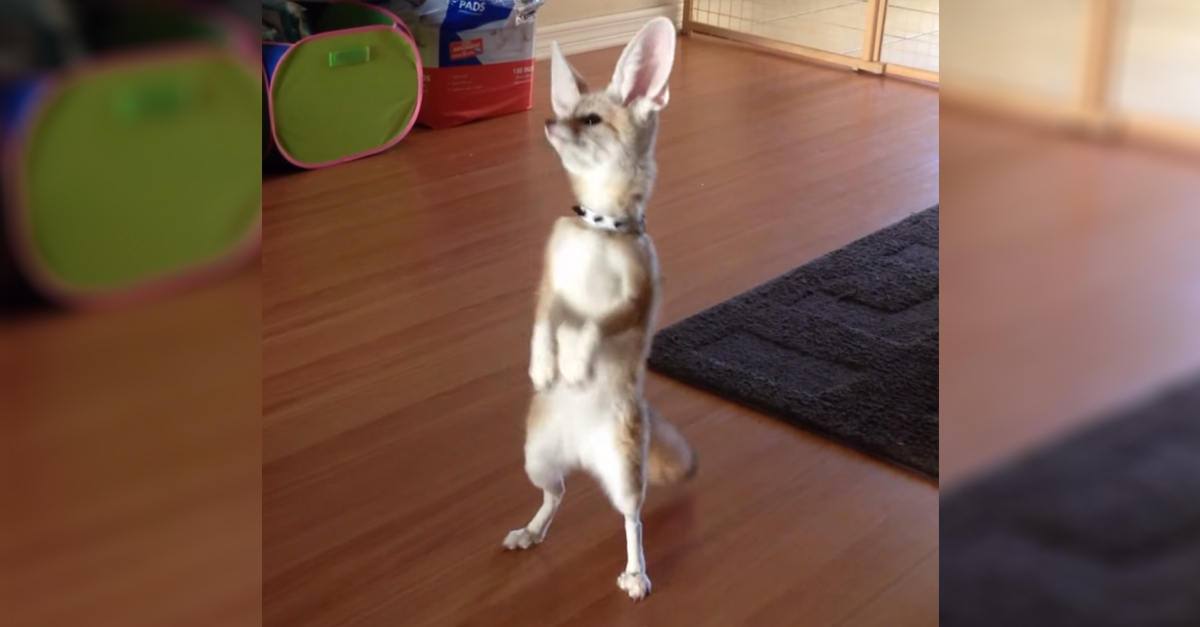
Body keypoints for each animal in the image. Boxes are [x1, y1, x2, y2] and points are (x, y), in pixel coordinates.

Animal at [501, 17, 696, 601]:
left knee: (631, 520)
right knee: (557, 495)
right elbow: (546, 321)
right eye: (566, 112)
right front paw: (544, 365)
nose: (548, 121)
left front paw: (575, 362)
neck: (599, 228)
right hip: (537, 458)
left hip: (627, 474)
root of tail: (583, 452)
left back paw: (636, 573)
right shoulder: (549, 284)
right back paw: (531, 531)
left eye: (589, 120)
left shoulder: (637, 300)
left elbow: (594, 323)